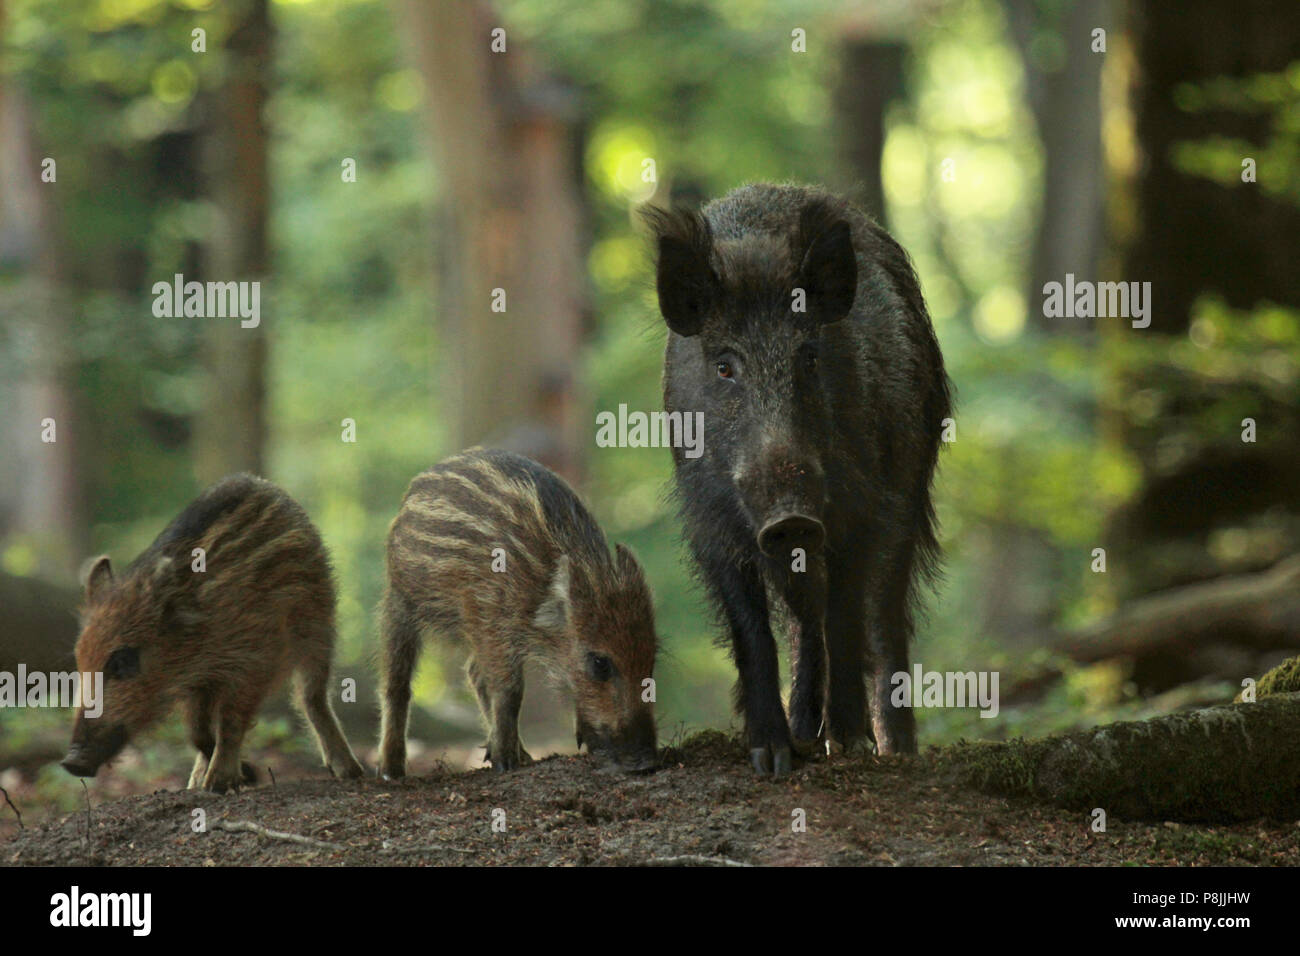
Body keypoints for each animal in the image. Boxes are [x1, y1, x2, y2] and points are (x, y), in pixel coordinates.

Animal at [61, 474, 366, 792]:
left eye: (122, 660)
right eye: (79, 661)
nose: (71, 762)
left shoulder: (254, 659)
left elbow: (231, 720)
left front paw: (222, 782)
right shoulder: (200, 682)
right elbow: (197, 733)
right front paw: (237, 776)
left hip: (320, 627)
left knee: (312, 697)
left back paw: (349, 770)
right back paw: (194, 783)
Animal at [377, 448, 658, 776]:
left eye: (651, 659)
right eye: (600, 664)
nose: (647, 763)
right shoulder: (489, 617)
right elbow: (510, 690)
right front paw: (505, 762)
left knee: (473, 672)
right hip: (399, 601)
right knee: (397, 684)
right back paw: (391, 769)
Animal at [644, 183, 951, 776]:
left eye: (809, 357)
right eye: (724, 366)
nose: (791, 517)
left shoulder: (858, 505)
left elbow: (846, 614)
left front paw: (851, 747)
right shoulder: (712, 520)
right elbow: (751, 628)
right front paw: (771, 758)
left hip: (909, 484)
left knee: (883, 615)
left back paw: (892, 749)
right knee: (802, 616)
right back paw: (808, 733)